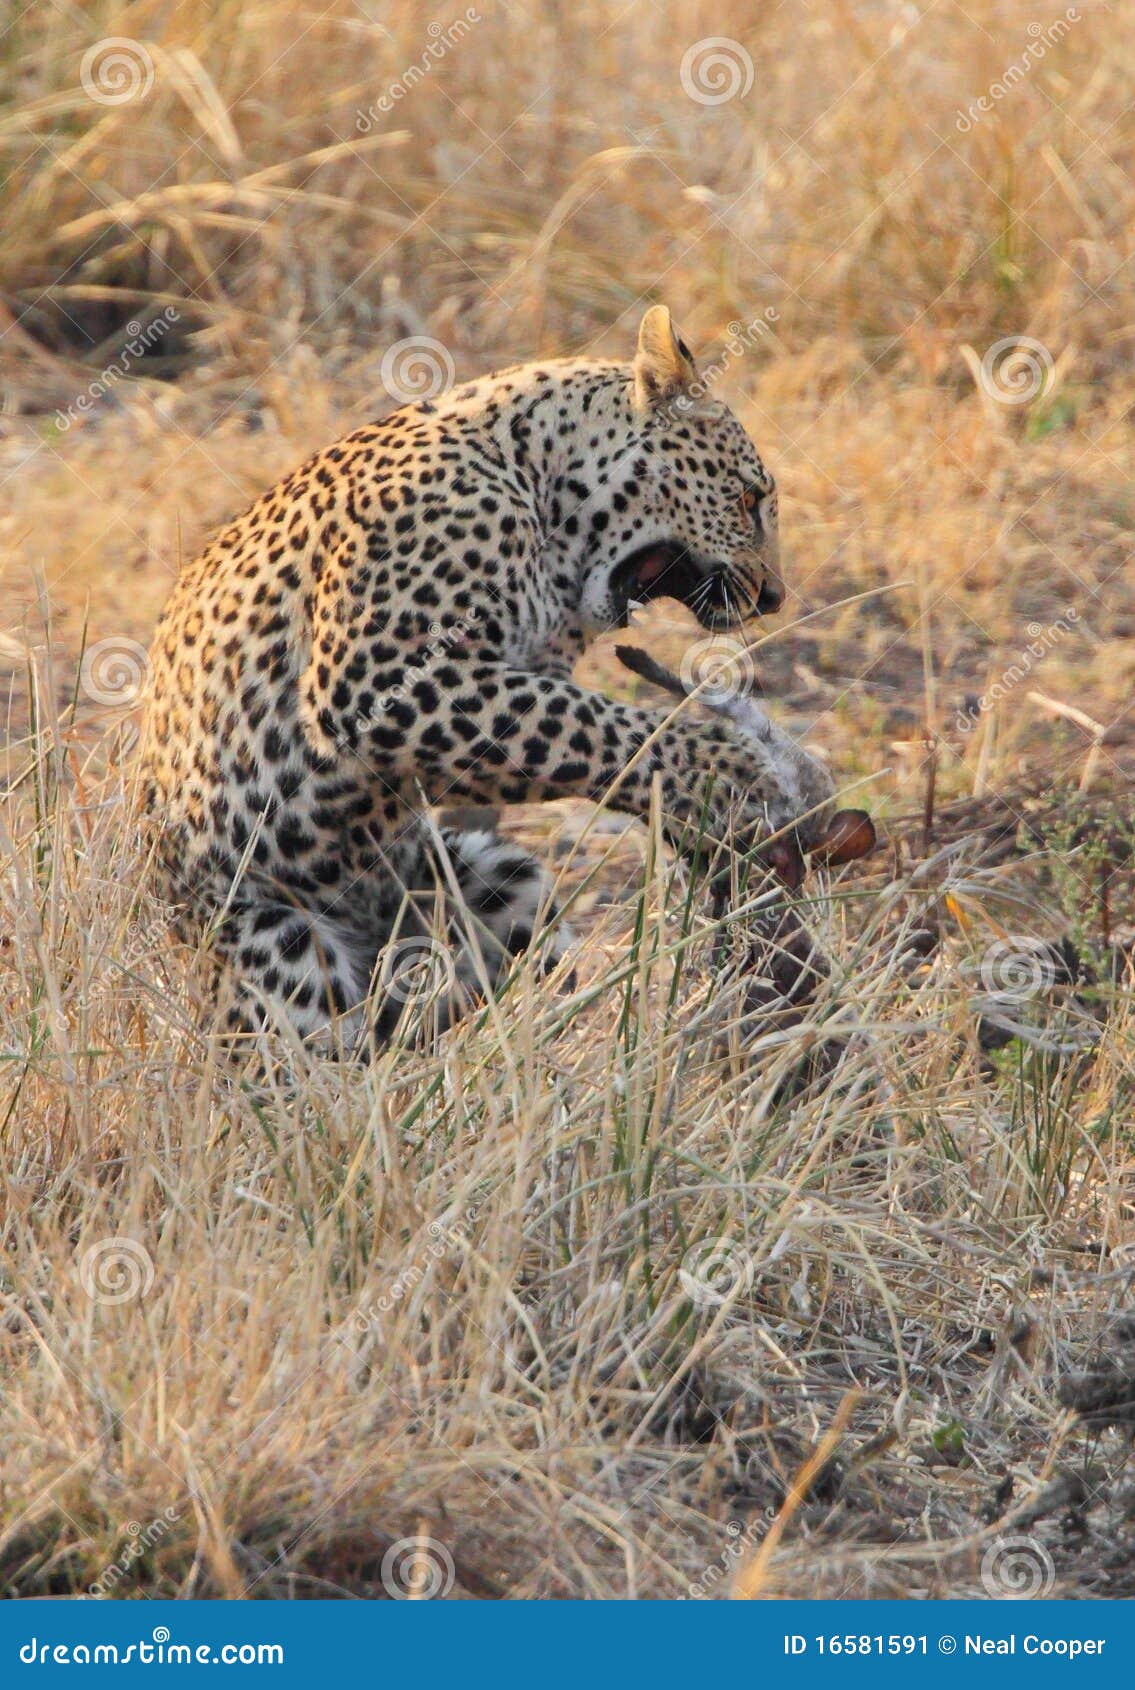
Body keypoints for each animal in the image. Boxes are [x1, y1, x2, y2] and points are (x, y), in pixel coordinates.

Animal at [140, 304, 837, 1051]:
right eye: (748, 498)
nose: (773, 596)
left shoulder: (500, 683)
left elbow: (566, 736)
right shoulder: (375, 679)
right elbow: (591, 725)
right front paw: (725, 773)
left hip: (496, 881)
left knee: (433, 1012)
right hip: (279, 953)